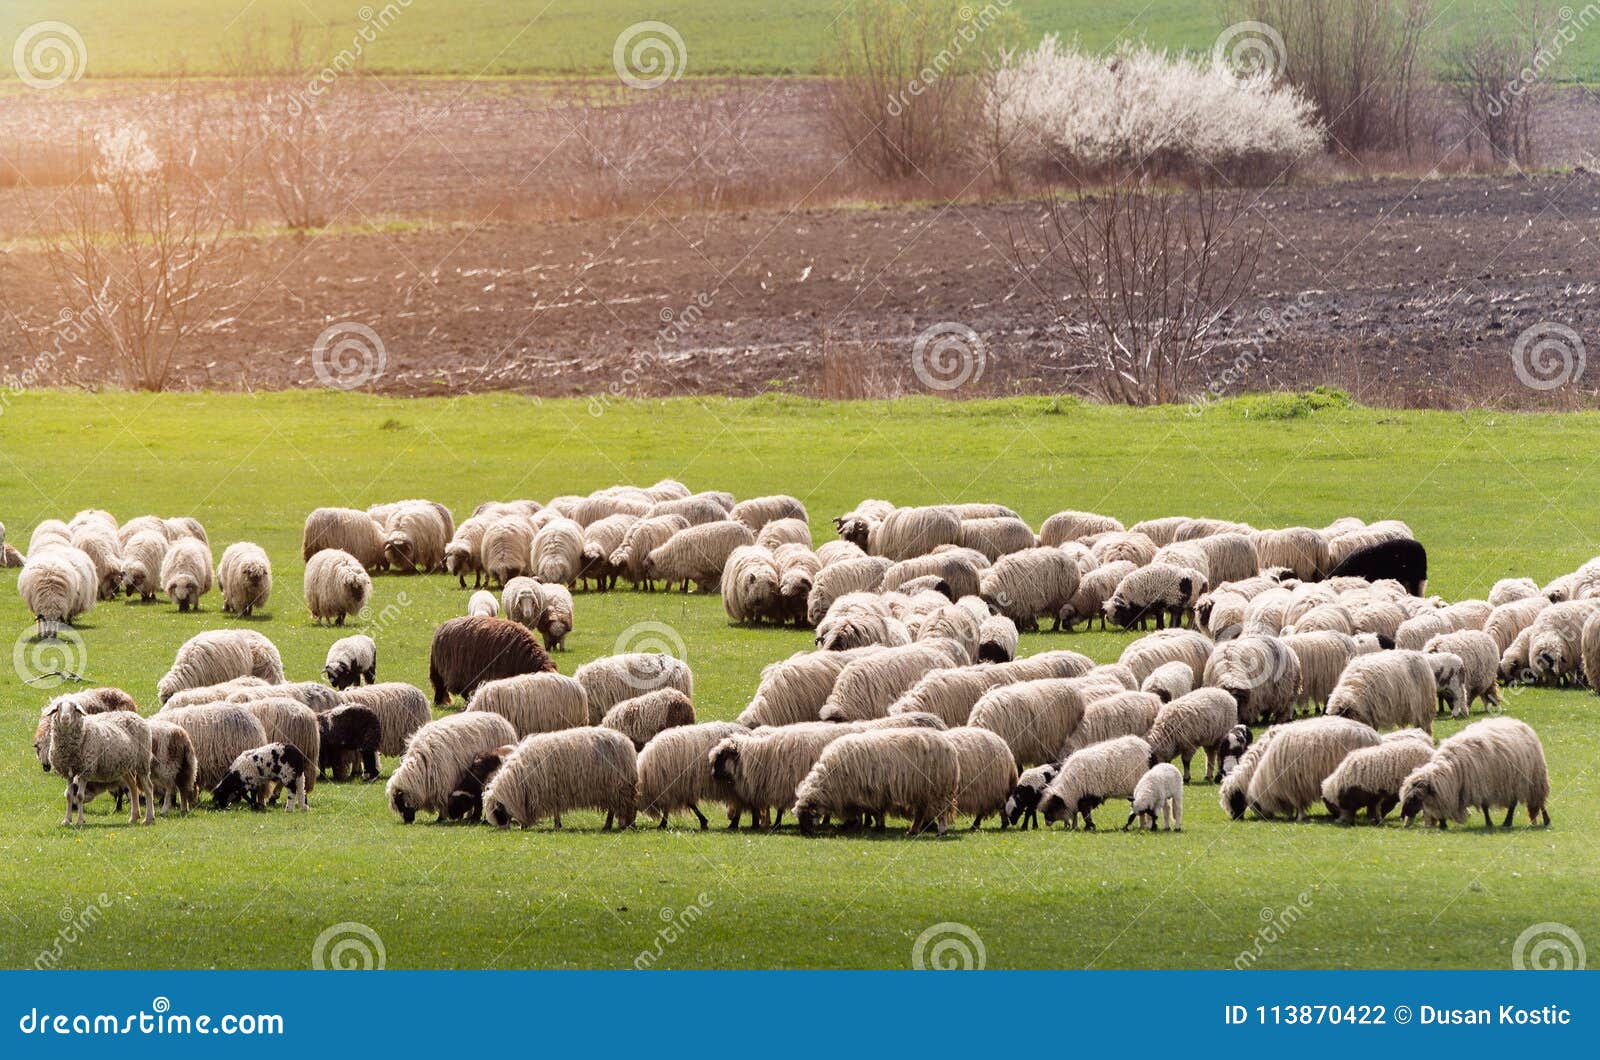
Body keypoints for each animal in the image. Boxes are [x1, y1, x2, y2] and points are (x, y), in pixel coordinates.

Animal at [388, 711, 518, 823]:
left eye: (402, 803)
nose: (408, 821)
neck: (421, 764)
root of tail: (501, 718)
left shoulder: (444, 786)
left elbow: (444, 804)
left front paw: (441, 818)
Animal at [481, 726, 638, 830]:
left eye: (498, 811)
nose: (504, 830)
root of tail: (625, 741)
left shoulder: (550, 790)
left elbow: (555, 809)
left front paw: (556, 825)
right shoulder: (553, 791)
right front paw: (557, 824)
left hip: (616, 787)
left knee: (616, 808)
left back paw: (611, 825)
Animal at [793, 727, 959, 835]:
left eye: (806, 816)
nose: (805, 834)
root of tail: (949, 746)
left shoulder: (866, 793)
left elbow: (869, 811)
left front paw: (867, 825)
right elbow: (872, 811)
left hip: (938, 789)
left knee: (941, 812)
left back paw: (941, 831)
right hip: (922, 791)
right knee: (920, 812)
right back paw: (912, 830)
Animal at [1245, 716, 1382, 820]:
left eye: (1256, 806)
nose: (1265, 818)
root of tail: (1374, 737)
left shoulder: (1293, 786)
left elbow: (1298, 804)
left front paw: (1300, 818)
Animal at [1398, 717, 1551, 829]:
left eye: (1414, 797)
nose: (1403, 815)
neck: (1453, 770)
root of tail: (1520, 723)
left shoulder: (1480, 785)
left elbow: (1484, 807)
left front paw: (1489, 823)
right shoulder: (1453, 790)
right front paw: (1443, 824)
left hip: (1533, 778)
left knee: (1537, 801)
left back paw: (1541, 820)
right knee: (1514, 803)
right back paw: (1508, 822)